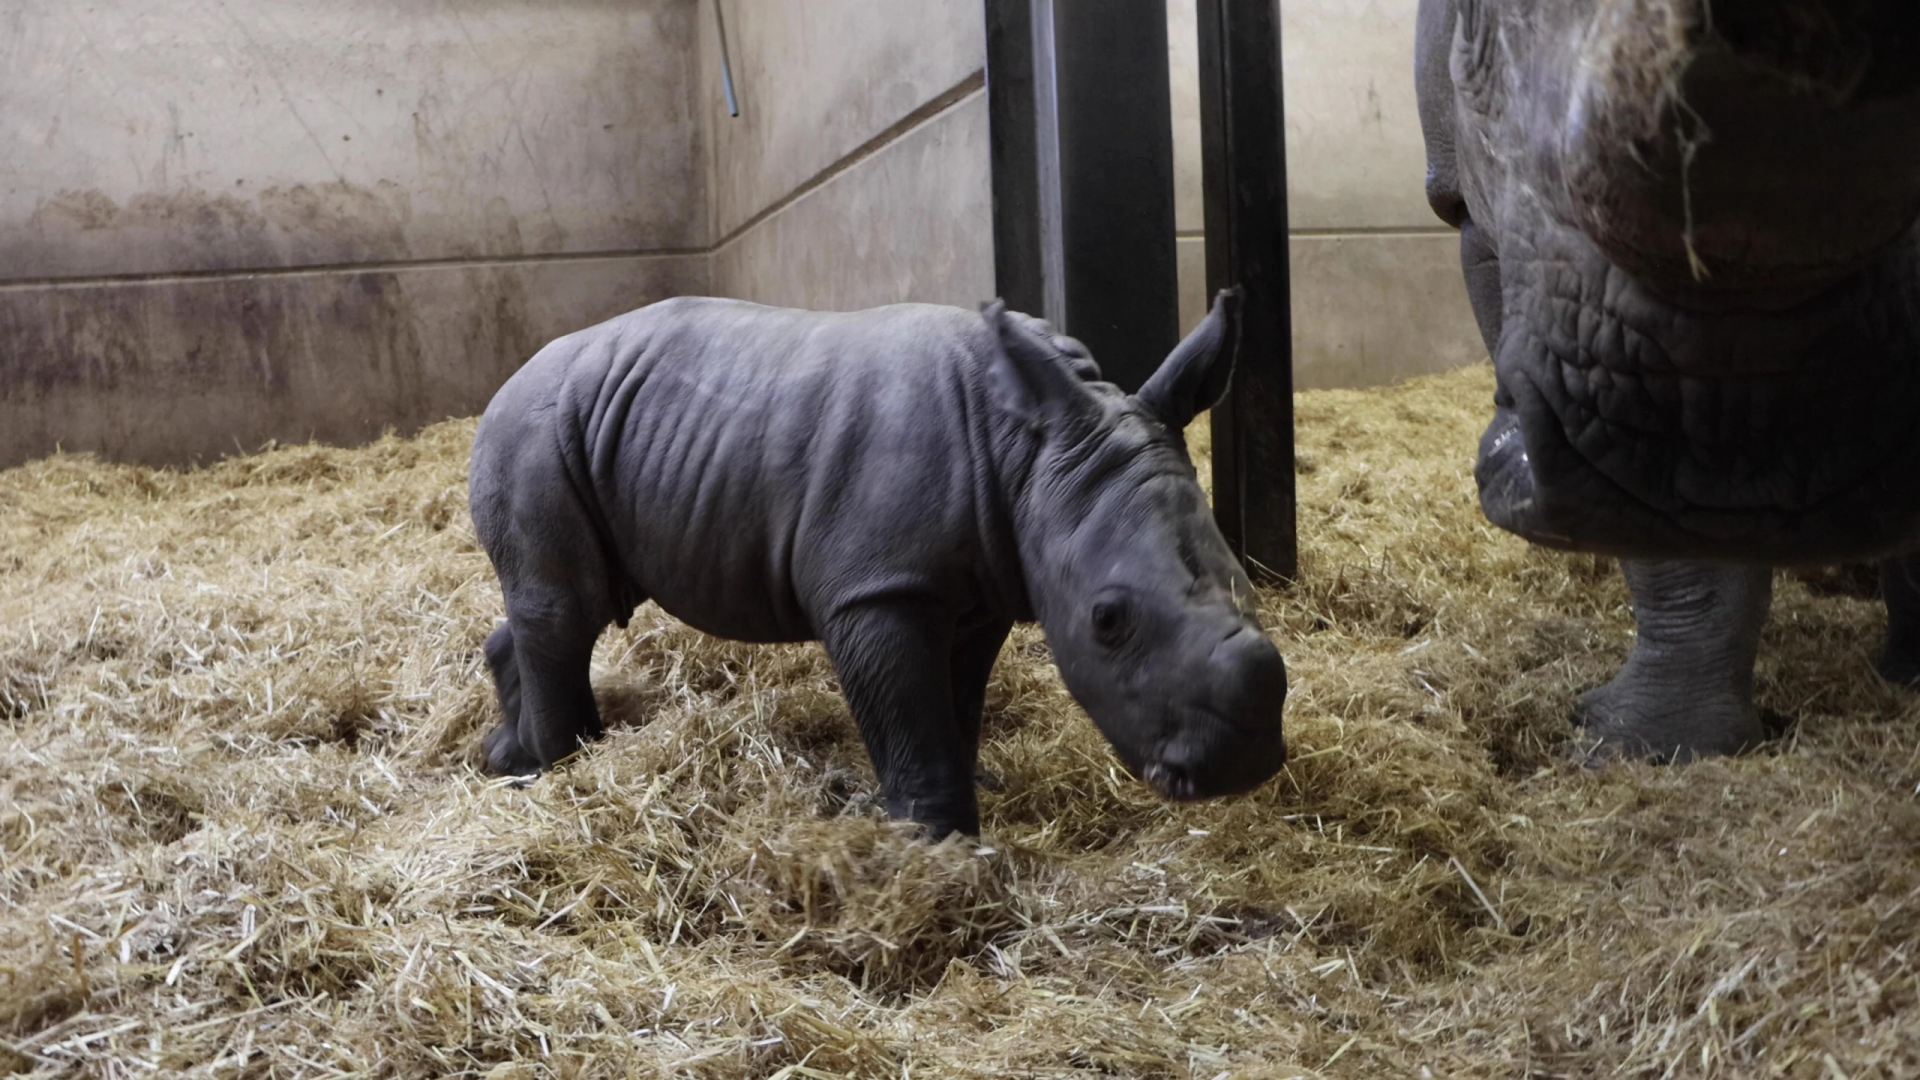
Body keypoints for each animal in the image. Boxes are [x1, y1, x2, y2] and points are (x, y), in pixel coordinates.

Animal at [466, 290, 1287, 837]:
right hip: (532, 431)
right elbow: (908, 717)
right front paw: (936, 843)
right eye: (1108, 621)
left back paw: (506, 758)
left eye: (1244, 577)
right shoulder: (878, 590)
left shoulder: (980, 591)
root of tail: (500, 388)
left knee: (571, 603)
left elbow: (959, 698)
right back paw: (564, 766)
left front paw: (967, 791)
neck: (1032, 452)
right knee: (567, 606)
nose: (1242, 764)